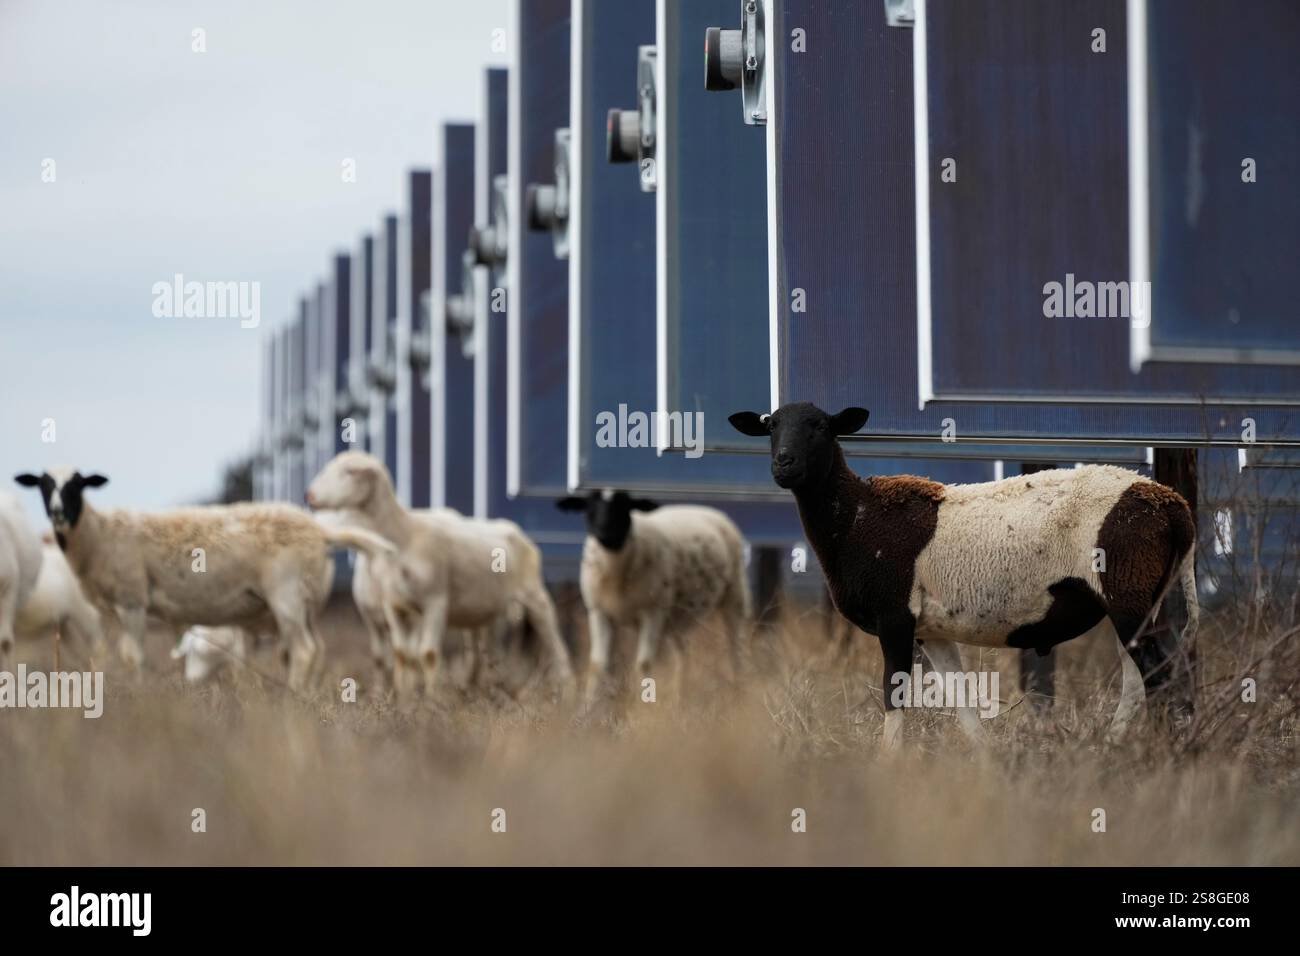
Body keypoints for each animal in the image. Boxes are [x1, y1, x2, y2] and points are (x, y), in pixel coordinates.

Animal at [13, 467, 395, 690]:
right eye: (43, 486)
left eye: (76, 486)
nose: (58, 513)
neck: (99, 533)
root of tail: (320, 532)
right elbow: (118, 655)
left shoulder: (133, 600)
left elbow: (132, 656)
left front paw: (137, 693)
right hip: (307, 603)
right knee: (317, 649)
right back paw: (307, 694)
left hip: (286, 596)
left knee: (304, 651)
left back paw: (295, 696)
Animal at [306, 451, 573, 697]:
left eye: (349, 471)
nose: (310, 495)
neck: (402, 536)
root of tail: (514, 529)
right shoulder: (394, 606)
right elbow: (401, 654)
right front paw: (403, 699)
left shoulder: (435, 602)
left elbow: (427, 654)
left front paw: (431, 700)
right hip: (484, 613)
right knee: (482, 652)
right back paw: (477, 689)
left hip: (534, 595)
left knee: (554, 641)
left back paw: (565, 688)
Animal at [554, 490, 752, 699]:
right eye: (589, 508)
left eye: (623, 507)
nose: (605, 533)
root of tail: (709, 510)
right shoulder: (599, 612)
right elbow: (598, 665)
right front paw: (588, 705)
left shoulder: (652, 612)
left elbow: (644, 663)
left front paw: (641, 703)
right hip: (677, 617)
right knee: (682, 654)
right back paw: (678, 699)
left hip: (734, 597)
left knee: (736, 650)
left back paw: (739, 690)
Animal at [729, 402, 1198, 749]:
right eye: (771, 426)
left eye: (819, 426)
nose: (783, 464)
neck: (857, 517)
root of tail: (1173, 504)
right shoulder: (930, 630)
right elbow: (960, 697)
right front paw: (984, 763)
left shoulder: (895, 617)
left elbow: (894, 691)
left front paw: (887, 765)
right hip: (1141, 601)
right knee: (1139, 677)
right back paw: (1116, 746)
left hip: (1128, 594)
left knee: (1159, 673)